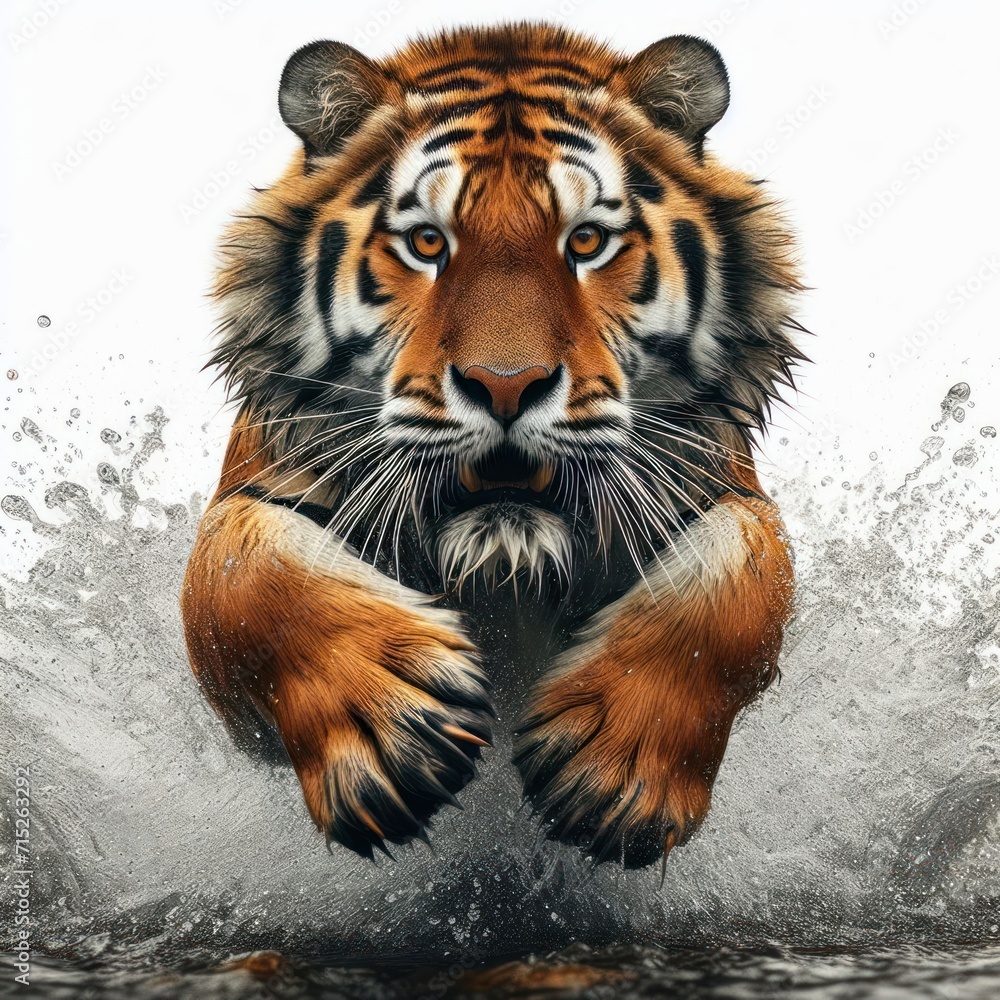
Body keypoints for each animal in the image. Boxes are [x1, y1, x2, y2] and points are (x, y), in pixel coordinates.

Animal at [181, 23, 804, 869]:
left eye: (586, 241)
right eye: (425, 242)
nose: (506, 385)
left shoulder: (721, 489)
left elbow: (740, 574)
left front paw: (614, 767)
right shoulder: (253, 502)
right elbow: (244, 573)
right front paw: (389, 728)